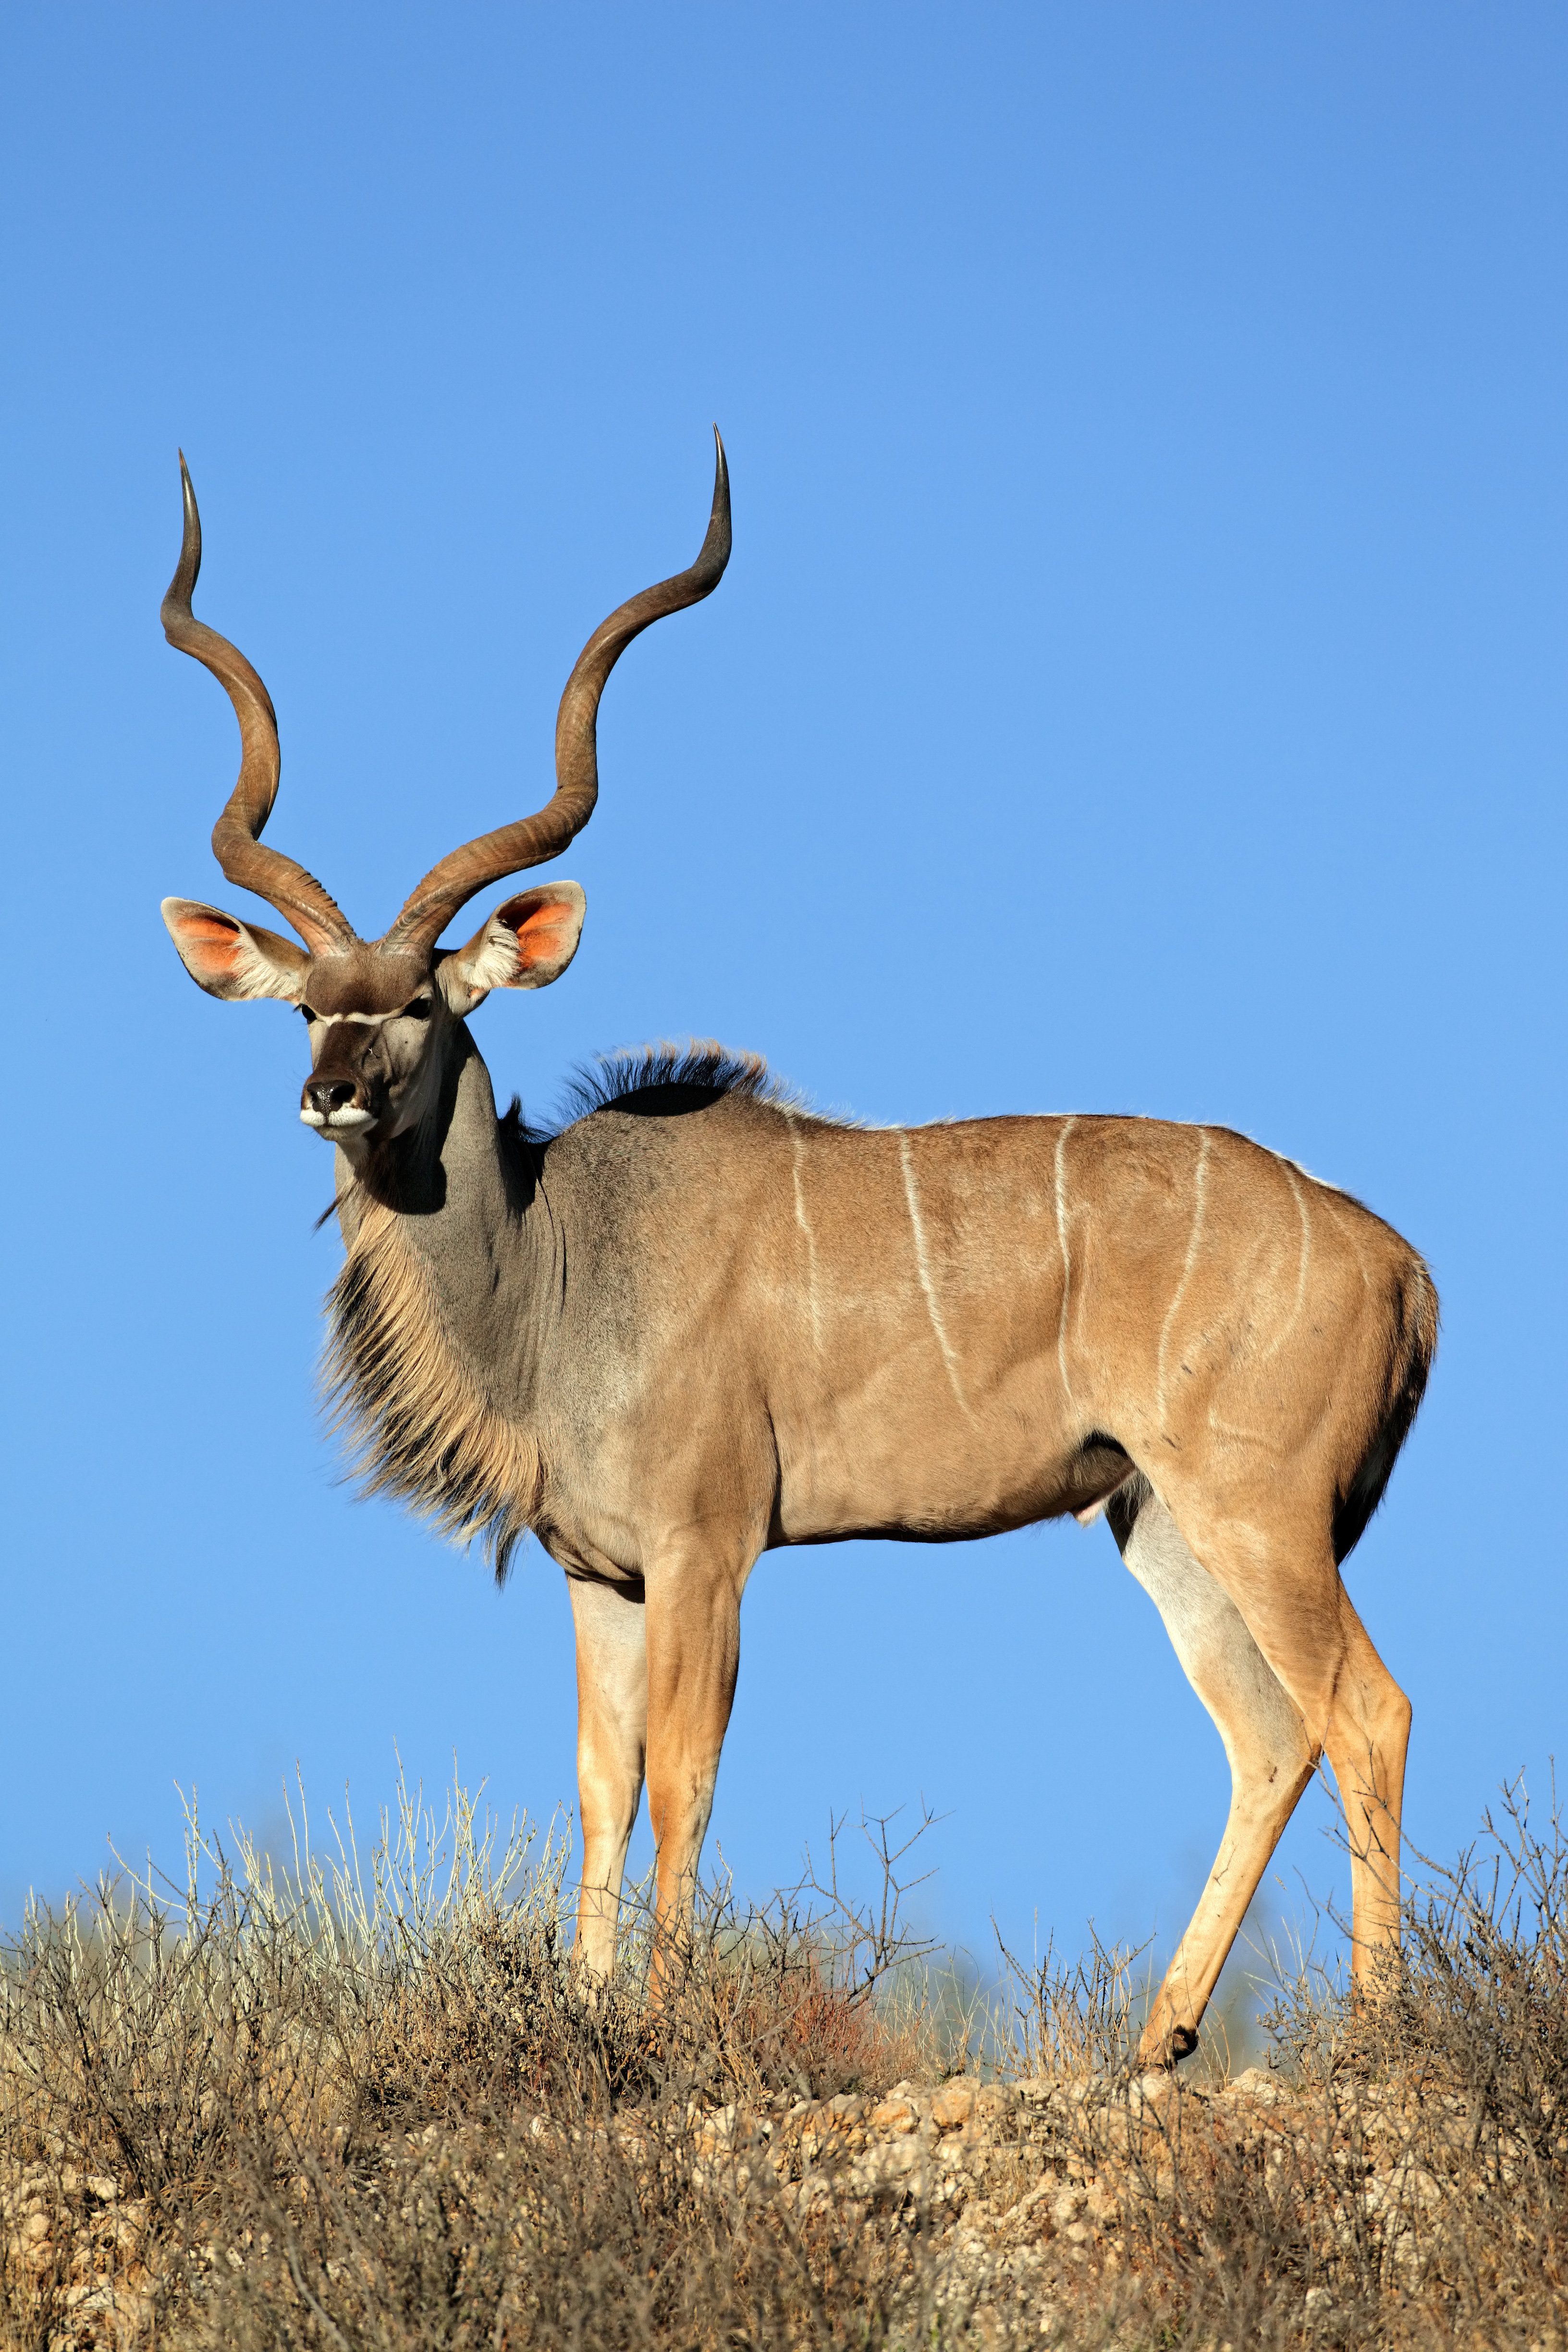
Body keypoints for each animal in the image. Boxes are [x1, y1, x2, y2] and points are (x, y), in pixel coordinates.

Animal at [160, 435, 1436, 2066]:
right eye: (308, 1004)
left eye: (425, 1005)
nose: (330, 1092)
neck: (563, 1261)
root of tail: (1392, 1258)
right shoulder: (601, 1576)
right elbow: (601, 1786)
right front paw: (591, 2024)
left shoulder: (710, 1552)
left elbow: (683, 1779)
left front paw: (655, 2030)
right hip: (1155, 1518)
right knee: (1268, 1736)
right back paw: (1153, 2051)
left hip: (1257, 1509)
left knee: (1364, 1710)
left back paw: (1374, 2037)